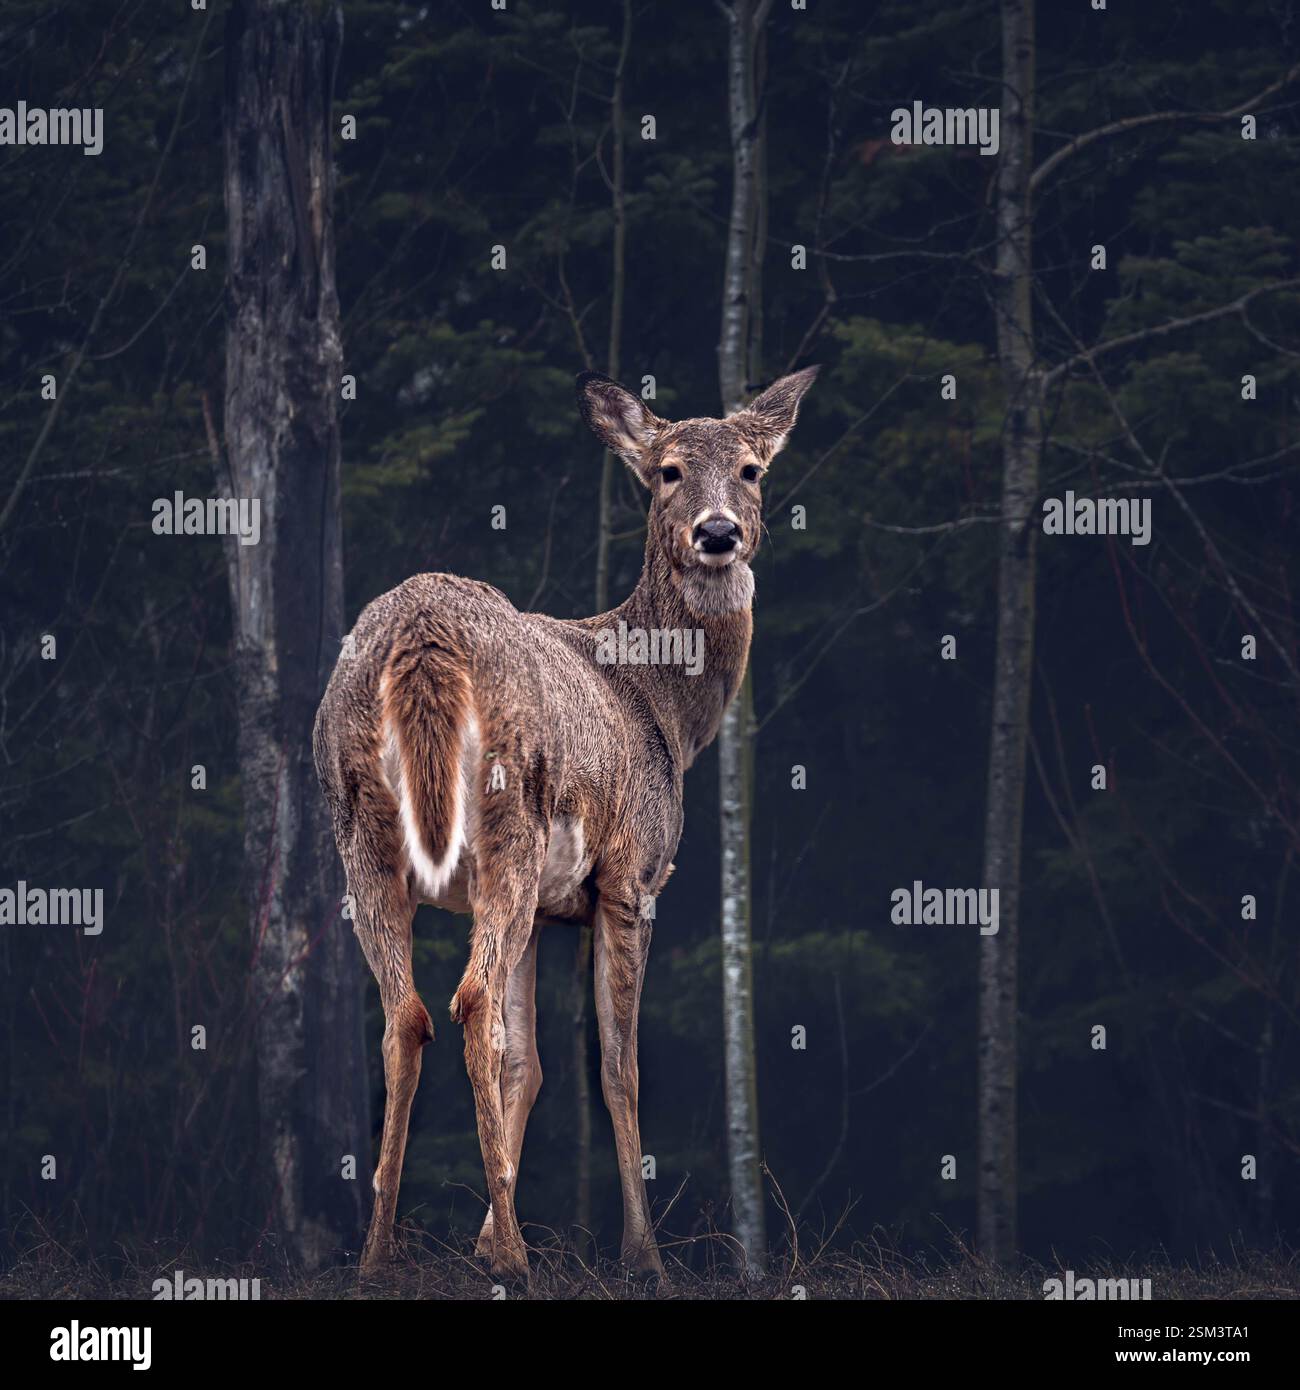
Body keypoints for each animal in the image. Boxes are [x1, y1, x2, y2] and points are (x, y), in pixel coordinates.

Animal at [312, 365, 818, 1284]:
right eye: (668, 471)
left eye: (753, 469)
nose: (718, 532)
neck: (665, 708)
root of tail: (422, 636)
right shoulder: (632, 876)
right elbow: (615, 1065)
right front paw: (640, 1258)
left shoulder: (548, 910)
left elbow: (529, 1062)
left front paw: (484, 1233)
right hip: (510, 815)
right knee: (471, 1005)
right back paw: (515, 1258)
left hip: (362, 829)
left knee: (410, 1016)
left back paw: (379, 1257)